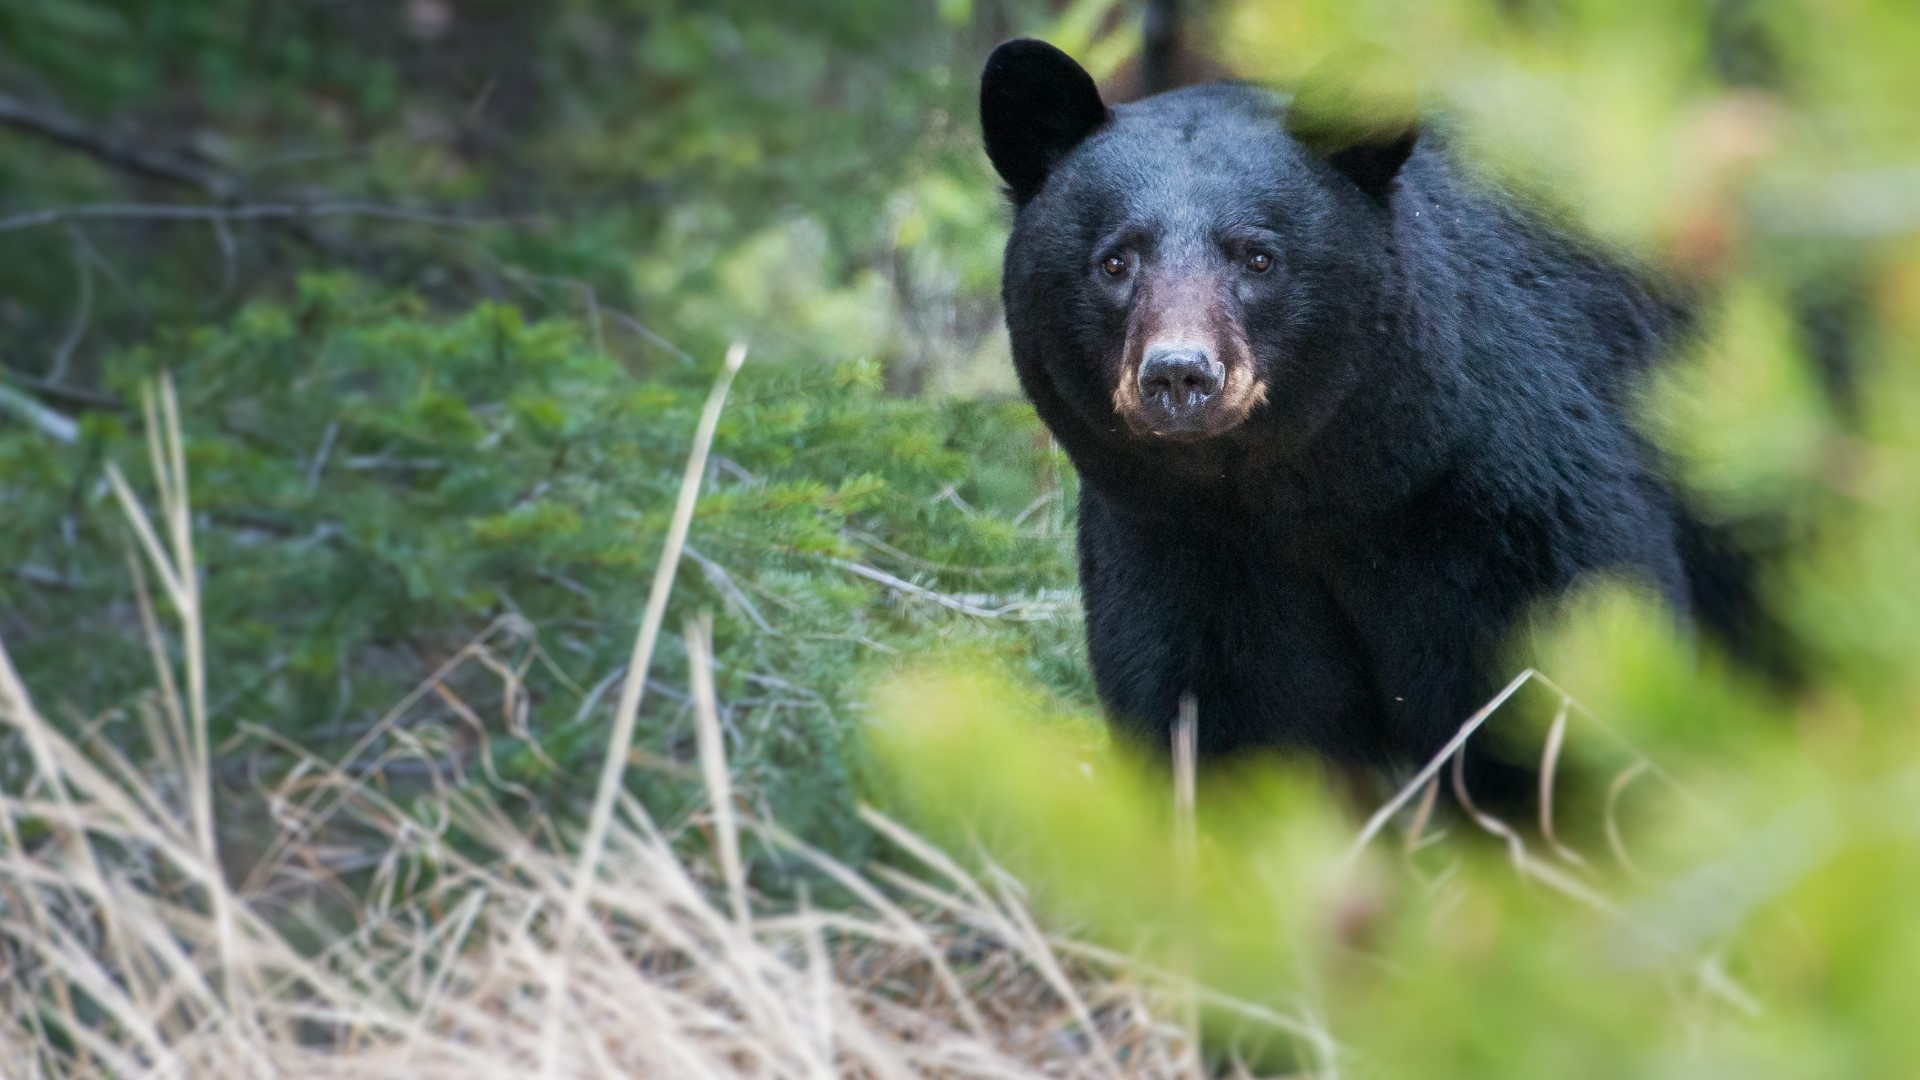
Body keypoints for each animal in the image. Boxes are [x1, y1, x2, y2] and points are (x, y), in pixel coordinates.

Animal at [980, 38, 1722, 781]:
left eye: (1258, 256)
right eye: (1114, 261)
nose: (1180, 373)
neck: (1318, 492)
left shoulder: (1512, 510)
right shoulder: (1179, 546)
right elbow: (1221, 717)